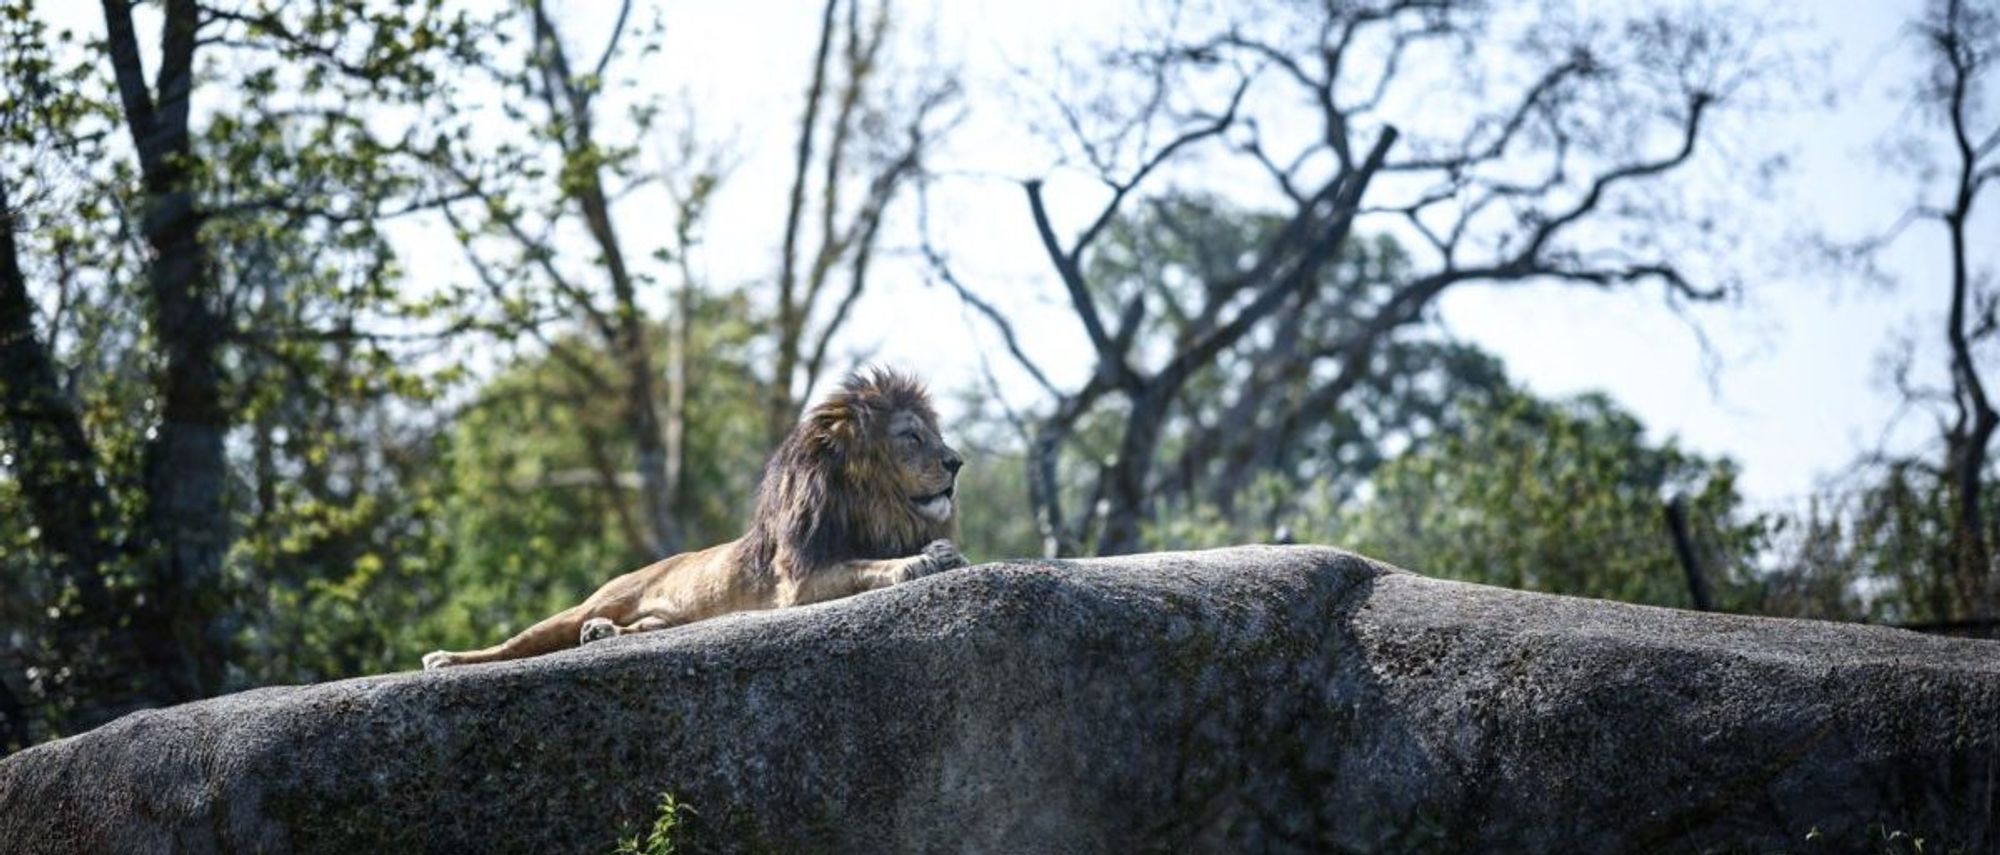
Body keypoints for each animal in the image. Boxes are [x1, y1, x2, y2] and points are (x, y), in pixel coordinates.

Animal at [421, 368, 966, 669]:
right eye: (911, 436)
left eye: (934, 434)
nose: (957, 462)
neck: (873, 506)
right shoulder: (797, 582)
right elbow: (862, 565)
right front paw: (922, 561)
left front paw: (940, 553)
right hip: (592, 601)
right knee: (515, 644)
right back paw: (445, 659)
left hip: (661, 617)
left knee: (639, 629)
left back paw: (602, 636)